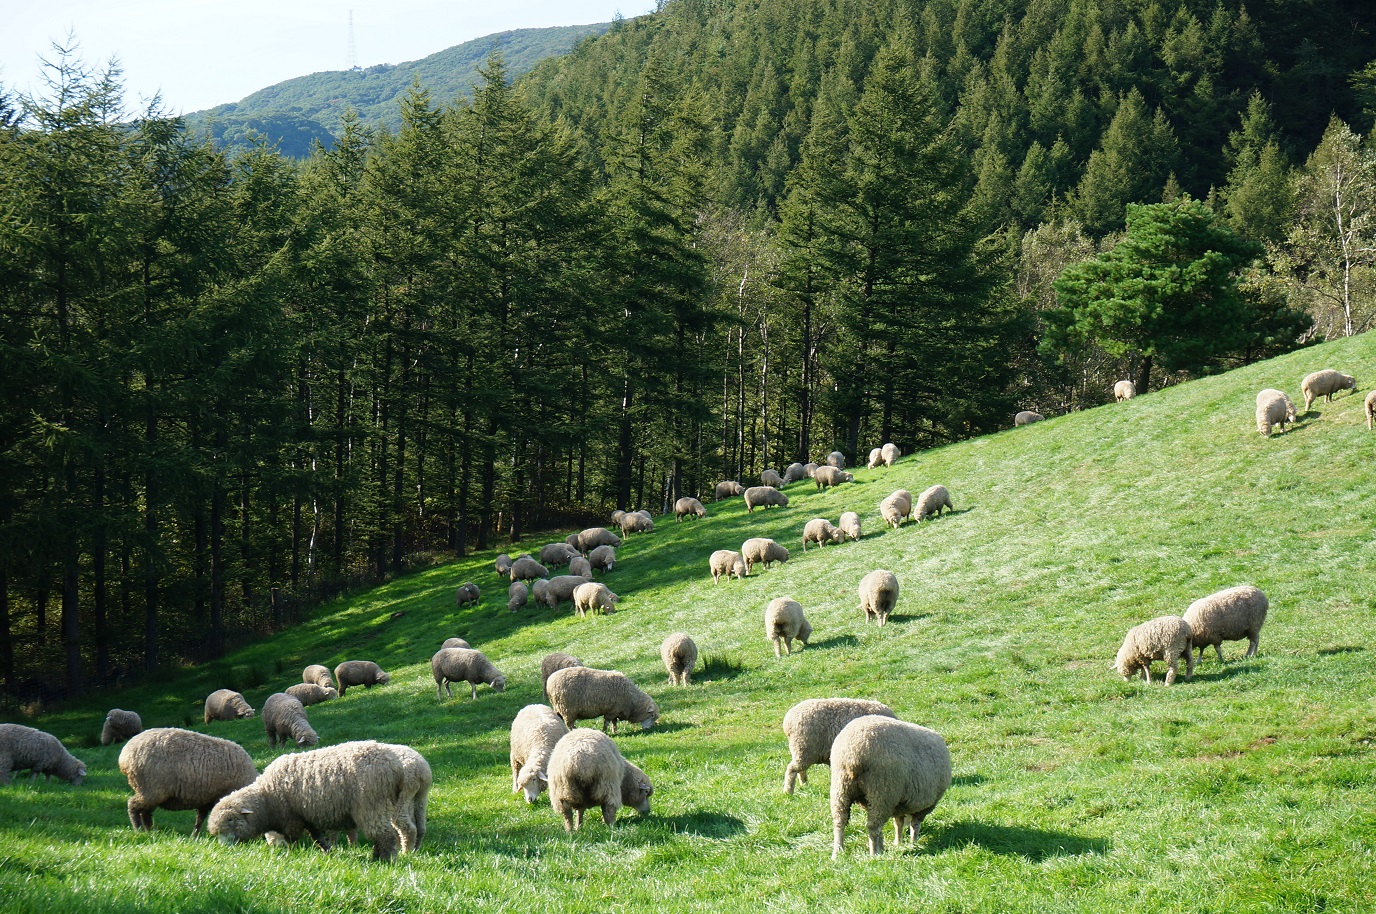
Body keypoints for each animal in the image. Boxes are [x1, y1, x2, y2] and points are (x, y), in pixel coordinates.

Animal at [118, 728, 255, 833]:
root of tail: (124, 756)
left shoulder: (206, 799)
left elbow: (200, 819)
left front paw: (194, 836)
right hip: (150, 789)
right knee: (133, 806)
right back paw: (139, 830)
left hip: (150, 792)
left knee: (145, 812)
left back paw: (152, 832)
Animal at [209, 740, 430, 861]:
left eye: (231, 820)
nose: (223, 848)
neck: (267, 797)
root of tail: (395, 766)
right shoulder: (306, 817)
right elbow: (318, 837)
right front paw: (328, 852)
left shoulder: (291, 818)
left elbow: (292, 839)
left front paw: (291, 854)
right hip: (415, 800)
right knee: (414, 827)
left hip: (372, 804)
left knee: (387, 833)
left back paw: (385, 859)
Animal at [830, 716, 951, 859]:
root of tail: (853, 754)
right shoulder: (925, 806)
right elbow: (914, 825)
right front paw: (913, 842)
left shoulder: (898, 805)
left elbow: (898, 824)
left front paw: (897, 843)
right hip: (882, 791)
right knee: (873, 826)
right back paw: (874, 854)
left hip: (841, 788)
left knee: (840, 822)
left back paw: (838, 853)